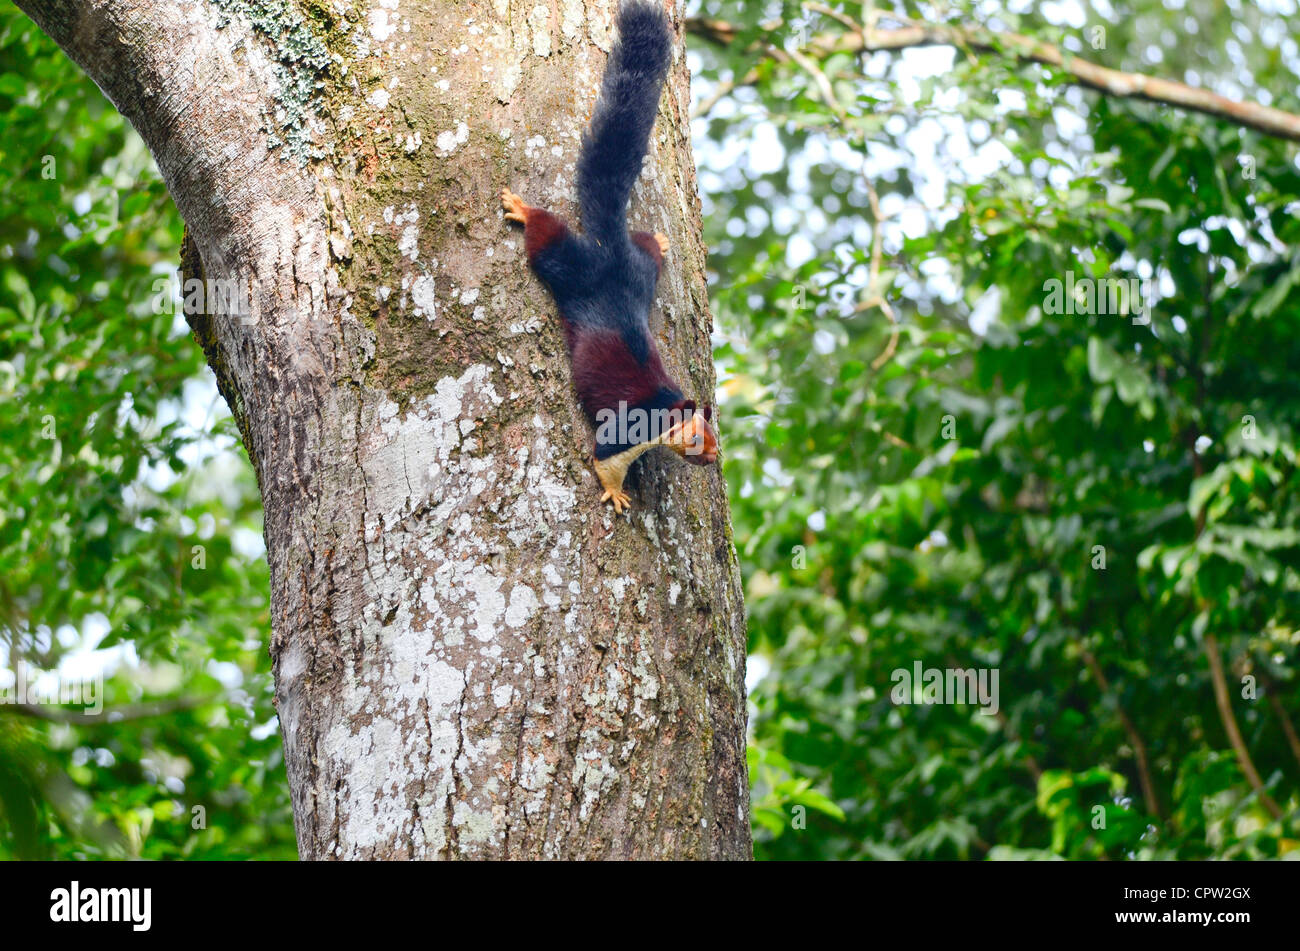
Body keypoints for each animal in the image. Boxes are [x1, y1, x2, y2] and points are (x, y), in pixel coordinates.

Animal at [502, 0, 718, 516]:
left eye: (713, 436)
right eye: (697, 439)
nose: (715, 459)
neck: (665, 411)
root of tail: (610, 250)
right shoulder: (629, 429)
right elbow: (605, 458)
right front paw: (617, 493)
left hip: (641, 273)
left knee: (645, 253)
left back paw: (657, 242)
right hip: (571, 268)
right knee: (547, 239)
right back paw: (523, 210)